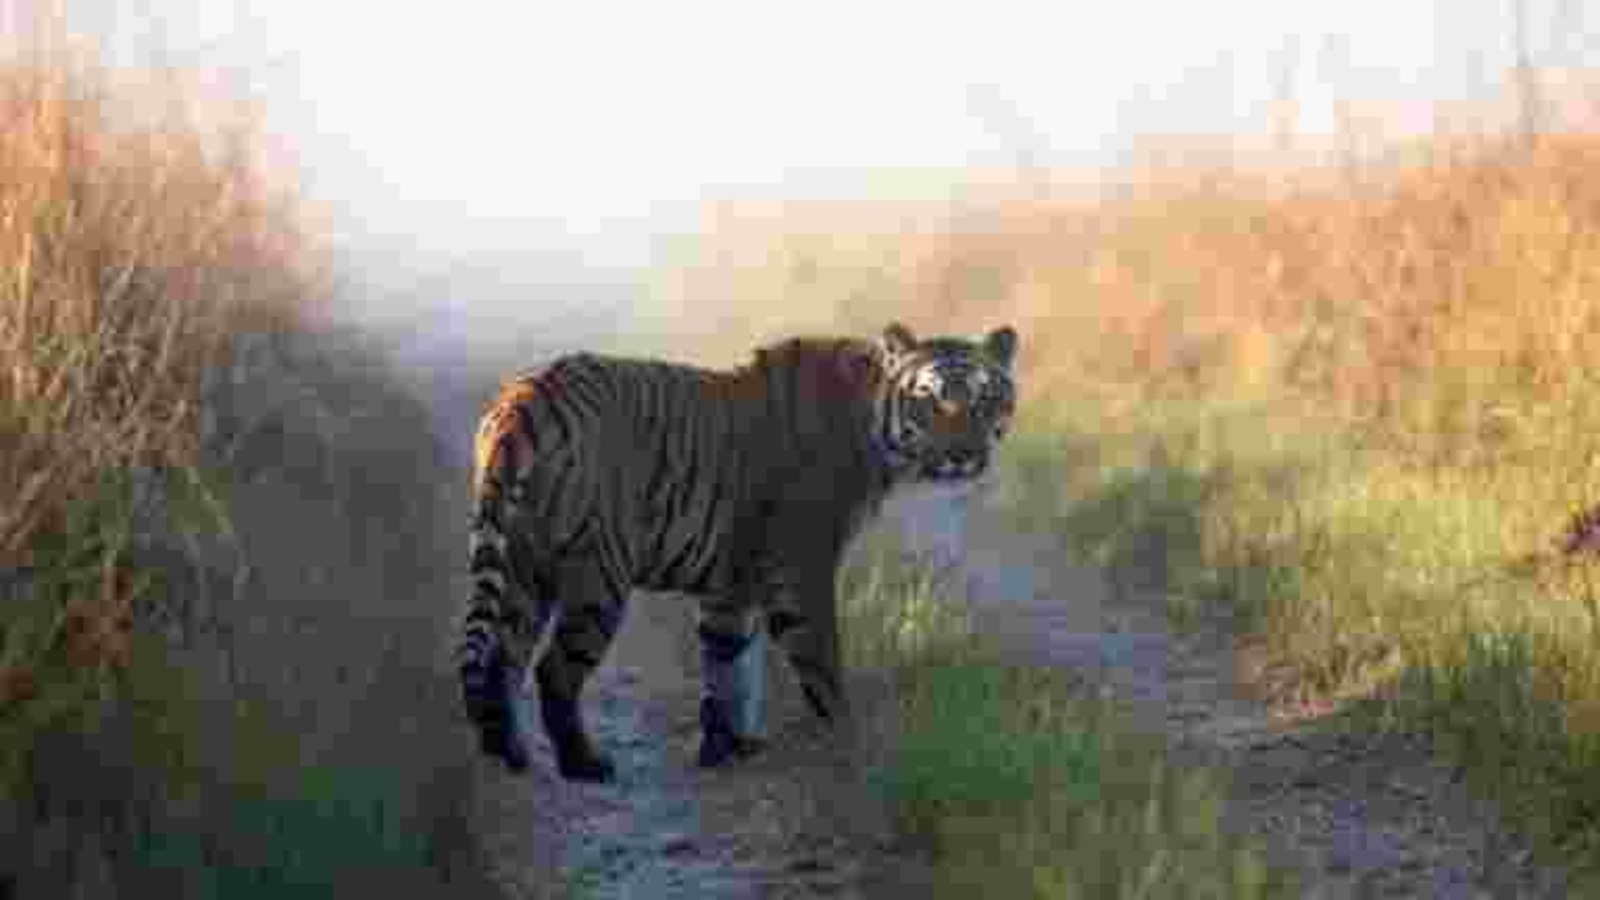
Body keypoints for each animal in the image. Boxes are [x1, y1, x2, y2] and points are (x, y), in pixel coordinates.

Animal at [457, 321, 1019, 782]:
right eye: (930, 400)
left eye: (984, 400)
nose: (963, 455)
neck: (879, 433)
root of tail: (524, 399)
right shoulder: (802, 568)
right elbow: (819, 662)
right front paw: (844, 737)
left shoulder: (733, 580)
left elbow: (729, 664)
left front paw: (727, 745)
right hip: (598, 575)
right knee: (553, 669)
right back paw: (583, 764)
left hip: (524, 567)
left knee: (502, 656)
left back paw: (508, 752)